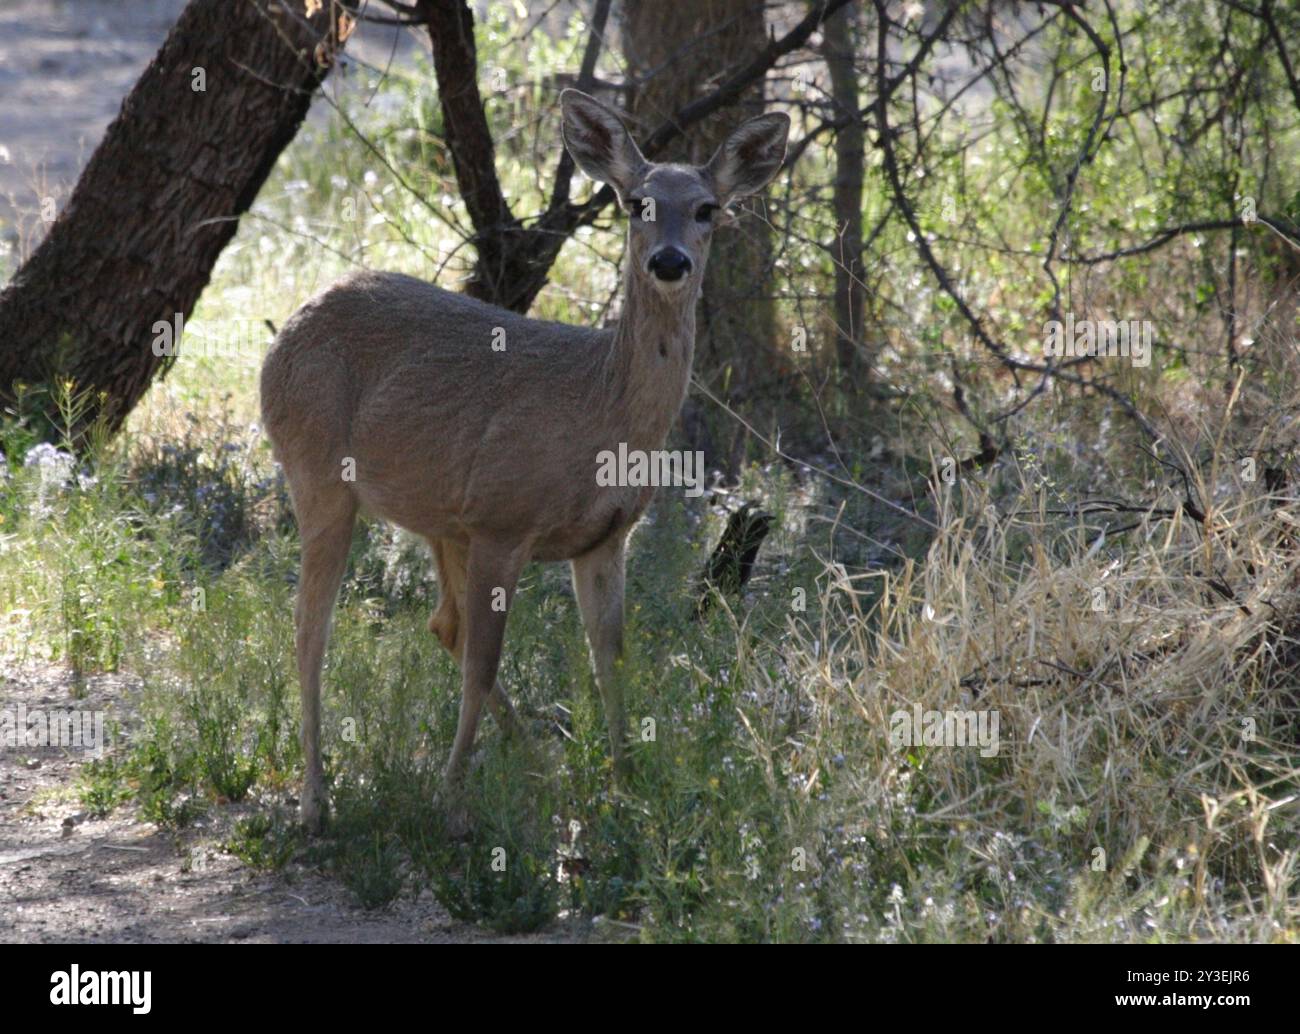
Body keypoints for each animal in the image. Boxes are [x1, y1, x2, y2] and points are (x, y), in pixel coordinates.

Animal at [260, 89, 789, 832]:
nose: (669, 262)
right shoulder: (503, 521)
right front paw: (451, 801)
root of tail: (281, 336)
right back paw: (316, 799)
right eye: (636, 203)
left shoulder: (604, 537)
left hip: (438, 519)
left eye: (708, 207)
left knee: (439, 623)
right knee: (311, 626)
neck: (602, 415)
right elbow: (484, 663)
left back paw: (539, 765)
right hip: (318, 472)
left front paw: (624, 785)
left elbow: (610, 657)